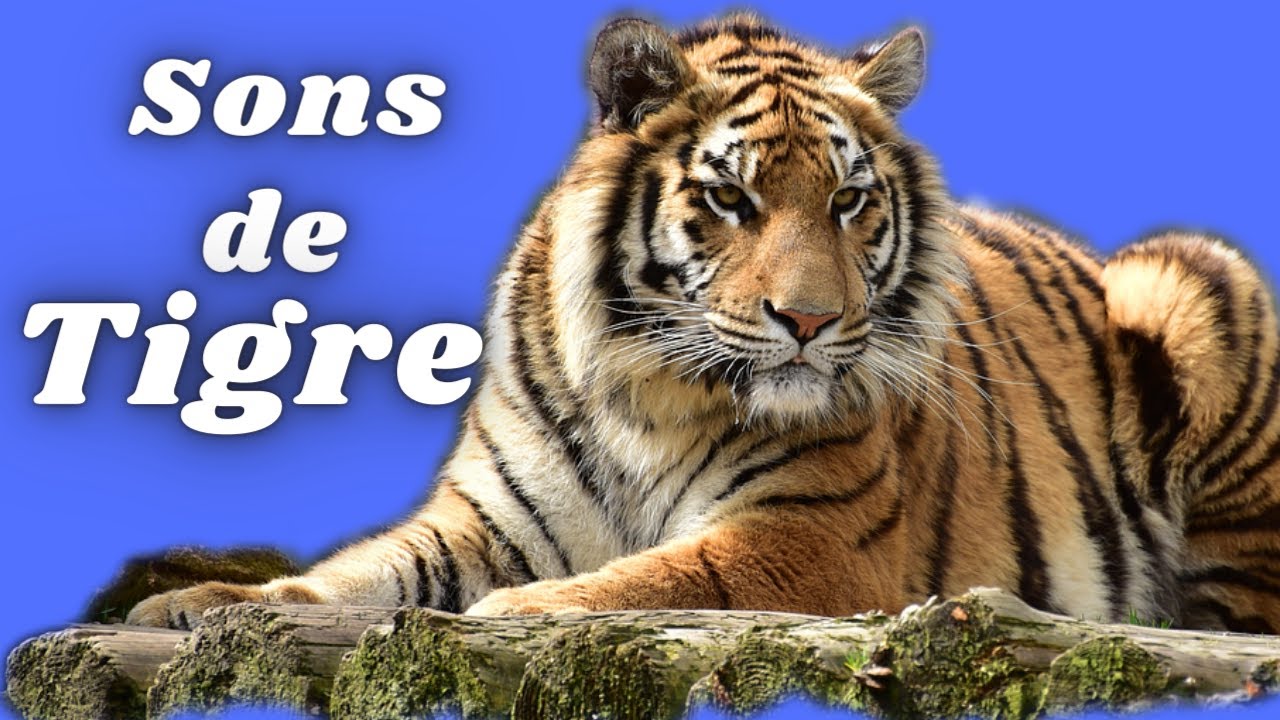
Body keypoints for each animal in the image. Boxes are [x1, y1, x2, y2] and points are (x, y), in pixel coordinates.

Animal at [127, 14, 1280, 634]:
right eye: (731, 199)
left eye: (849, 202)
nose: (810, 320)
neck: (646, 393)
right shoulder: (487, 522)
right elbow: (361, 568)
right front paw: (212, 601)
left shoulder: (811, 538)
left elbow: (663, 577)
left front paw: (514, 616)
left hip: (1188, 278)